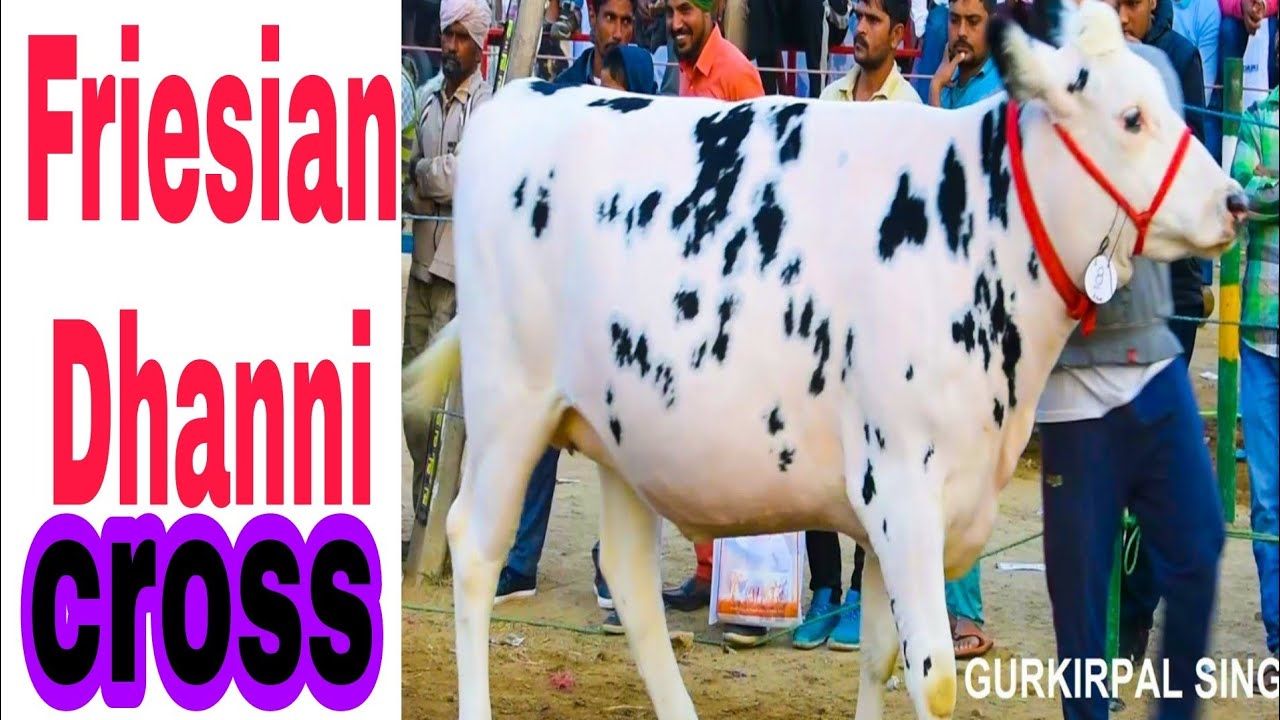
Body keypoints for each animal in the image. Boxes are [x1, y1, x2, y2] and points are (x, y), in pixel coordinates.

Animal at [401, 0, 1248, 717]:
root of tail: (528, 95)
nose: (1236, 202)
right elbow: (933, 676)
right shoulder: (902, 487)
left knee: (631, 581)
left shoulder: (895, 510)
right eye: (1132, 117)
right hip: (510, 402)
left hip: (621, 431)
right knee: (475, 548)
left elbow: (878, 657)